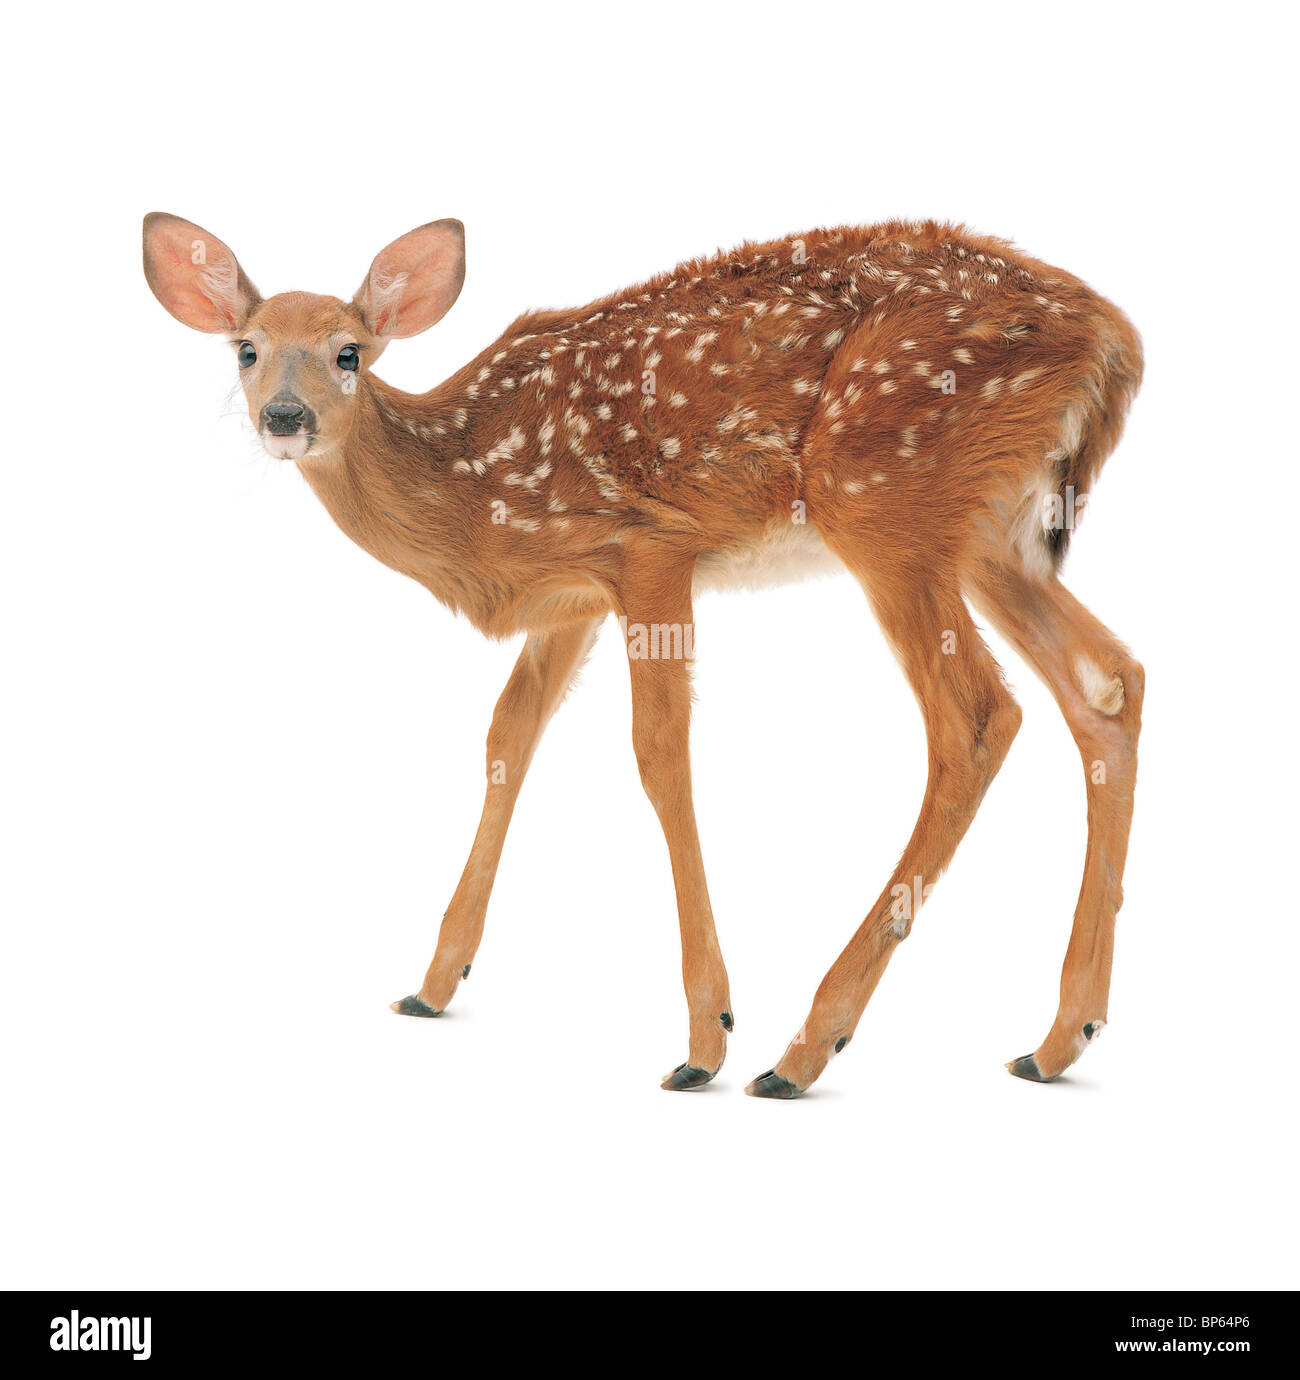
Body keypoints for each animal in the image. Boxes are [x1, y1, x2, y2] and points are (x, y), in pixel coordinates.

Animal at [142, 212, 1143, 1098]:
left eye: (349, 350)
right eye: (246, 348)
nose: (285, 416)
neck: (474, 491)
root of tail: (1112, 338)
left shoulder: (650, 548)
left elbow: (660, 753)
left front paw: (705, 1040)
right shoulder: (574, 592)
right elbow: (510, 735)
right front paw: (431, 985)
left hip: (882, 494)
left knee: (978, 716)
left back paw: (802, 1051)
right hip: (996, 531)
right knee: (1109, 683)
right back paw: (1060, 1038)